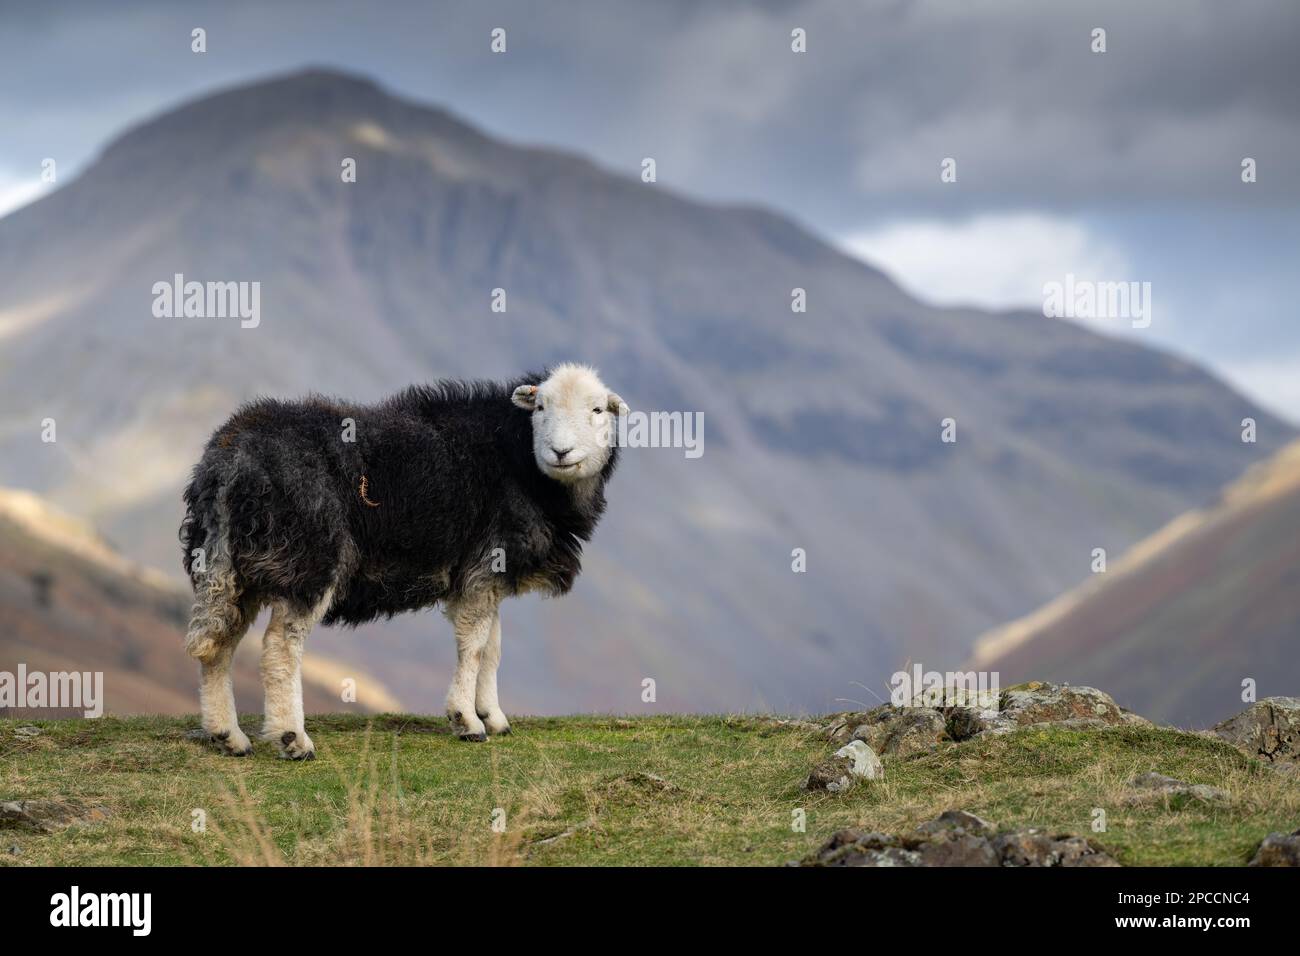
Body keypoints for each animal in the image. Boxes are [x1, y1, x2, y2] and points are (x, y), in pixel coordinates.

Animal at [179, 363, 626, 757]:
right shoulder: (483, 569)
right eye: (540, 407)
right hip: (308, 562)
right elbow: (474, 645)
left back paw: (228, 737)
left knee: (219, 646)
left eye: (597, 410)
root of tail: (231, 460)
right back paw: (293, 739)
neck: (521, 464)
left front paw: (494, 717)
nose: (561, 452)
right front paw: (467, 721)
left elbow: (492, 647)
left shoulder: (489, 577)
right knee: (278, 648)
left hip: (233, 569)